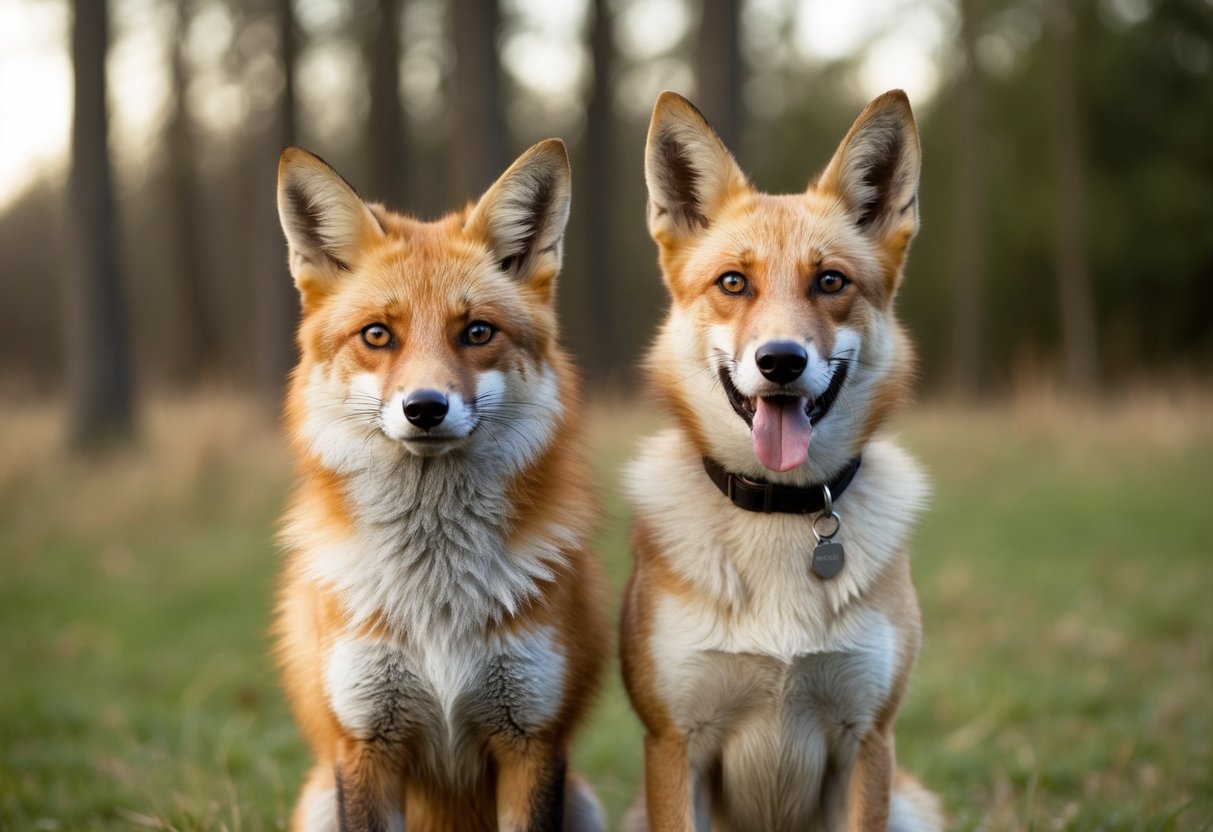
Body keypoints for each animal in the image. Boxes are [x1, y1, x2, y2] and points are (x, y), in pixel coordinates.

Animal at [273, 140, 607, 832]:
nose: (425, 408)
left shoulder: (532, 740)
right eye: (378, 334)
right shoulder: (366, 741)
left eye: (476, 331)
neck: (436, 595)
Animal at [618, 90, 945, 831]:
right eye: (733, 282)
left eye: (829, 281)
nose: (780, 362)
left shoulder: (867, 739)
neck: (780, 509)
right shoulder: (674, 743)